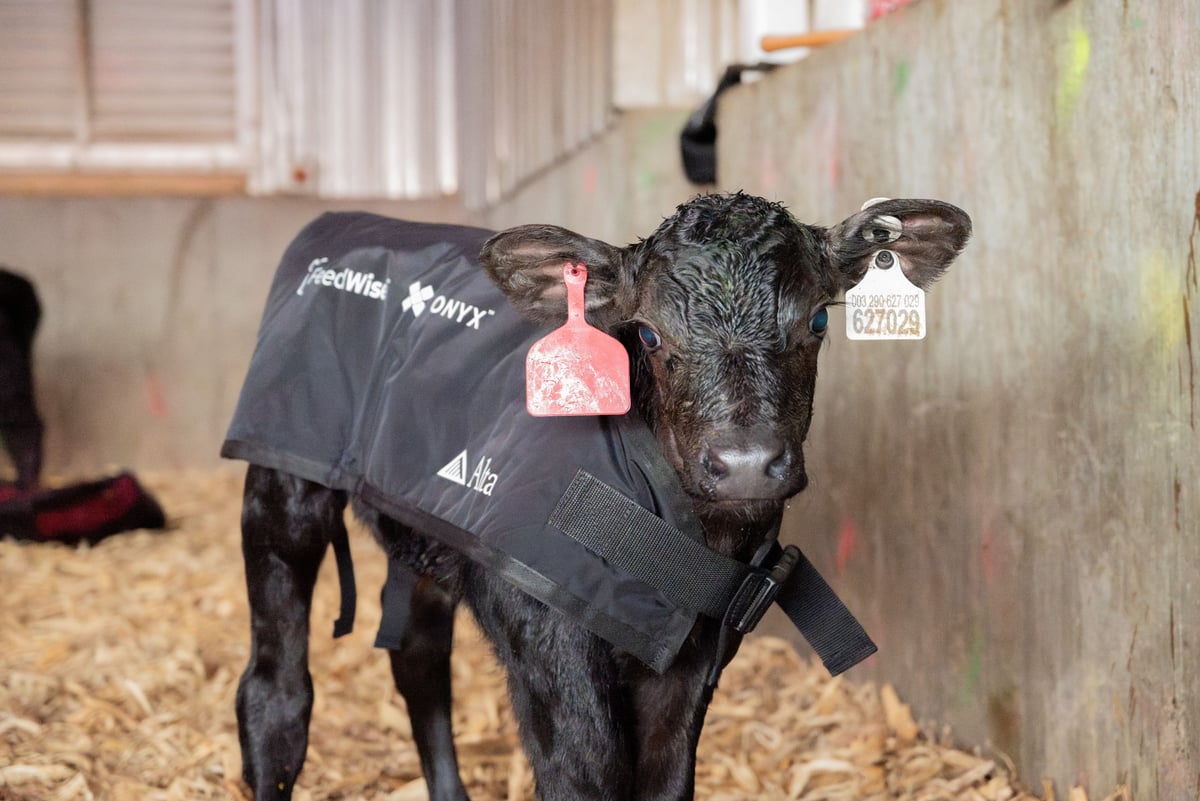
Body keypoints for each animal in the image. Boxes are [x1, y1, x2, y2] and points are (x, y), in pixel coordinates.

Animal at [224, 192, 971, 800]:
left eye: (816, 322)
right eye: (649, 333)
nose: (746, 463)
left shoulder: (699, 651)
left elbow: (664, 782)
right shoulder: (547, 637)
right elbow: (588, 779)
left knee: (417, 653)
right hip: (283, 477)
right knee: (275, 689)